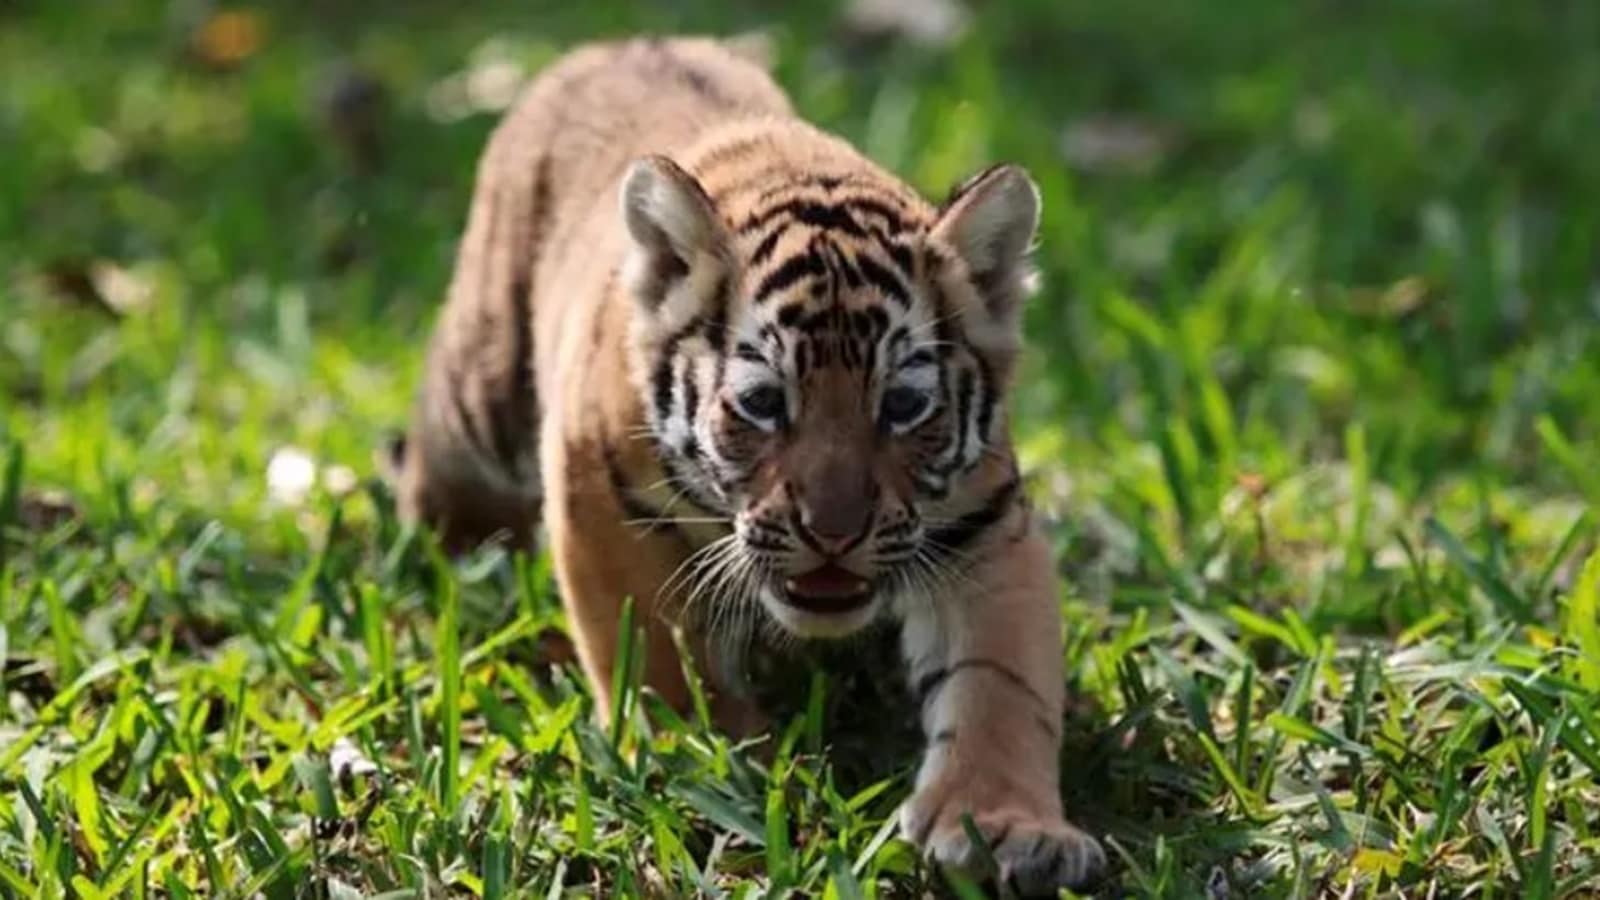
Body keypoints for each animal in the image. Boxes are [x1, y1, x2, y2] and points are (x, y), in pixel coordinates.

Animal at [384, 36, 1107, 893]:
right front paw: (710, 758)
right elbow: (656, 653)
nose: (834, 533)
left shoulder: (985, 527)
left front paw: (1003, 828)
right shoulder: (600, 496)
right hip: (477, 393)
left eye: (903, 405)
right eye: (763, 402)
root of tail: (612, 44)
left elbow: (1002, 682)